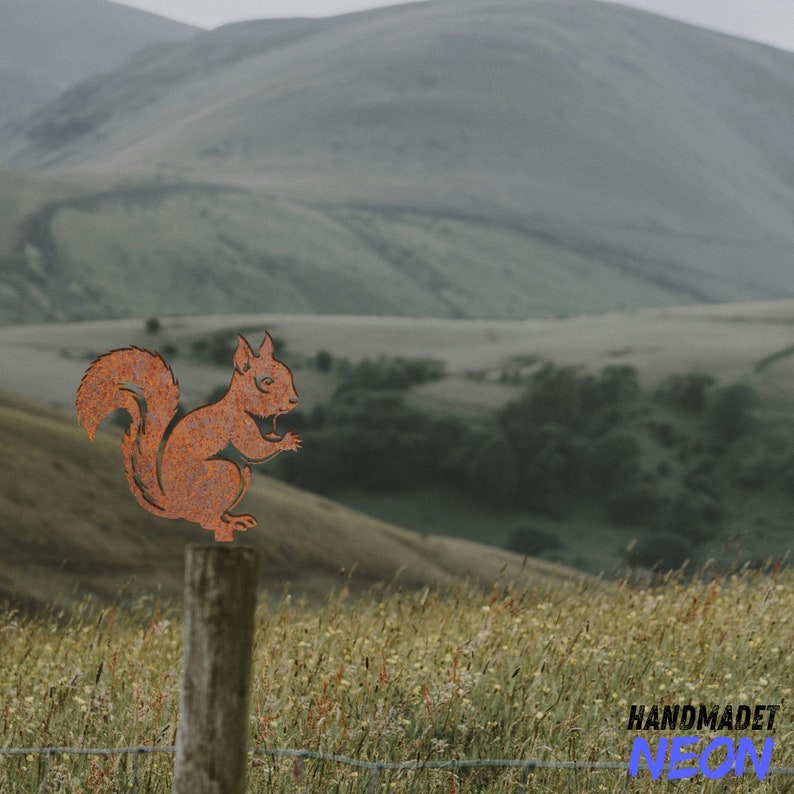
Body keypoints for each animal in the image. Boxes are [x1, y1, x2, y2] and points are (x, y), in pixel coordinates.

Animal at [76, 332, 301, 542]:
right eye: (267, 382)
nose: (294, 400)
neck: (239, 403)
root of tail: (174, 506)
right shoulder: (236, 423)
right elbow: (254, 448)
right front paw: (288, 440)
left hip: (242, 477)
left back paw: (234, 520)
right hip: (222, 474)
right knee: (205, 518)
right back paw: (219, 522)